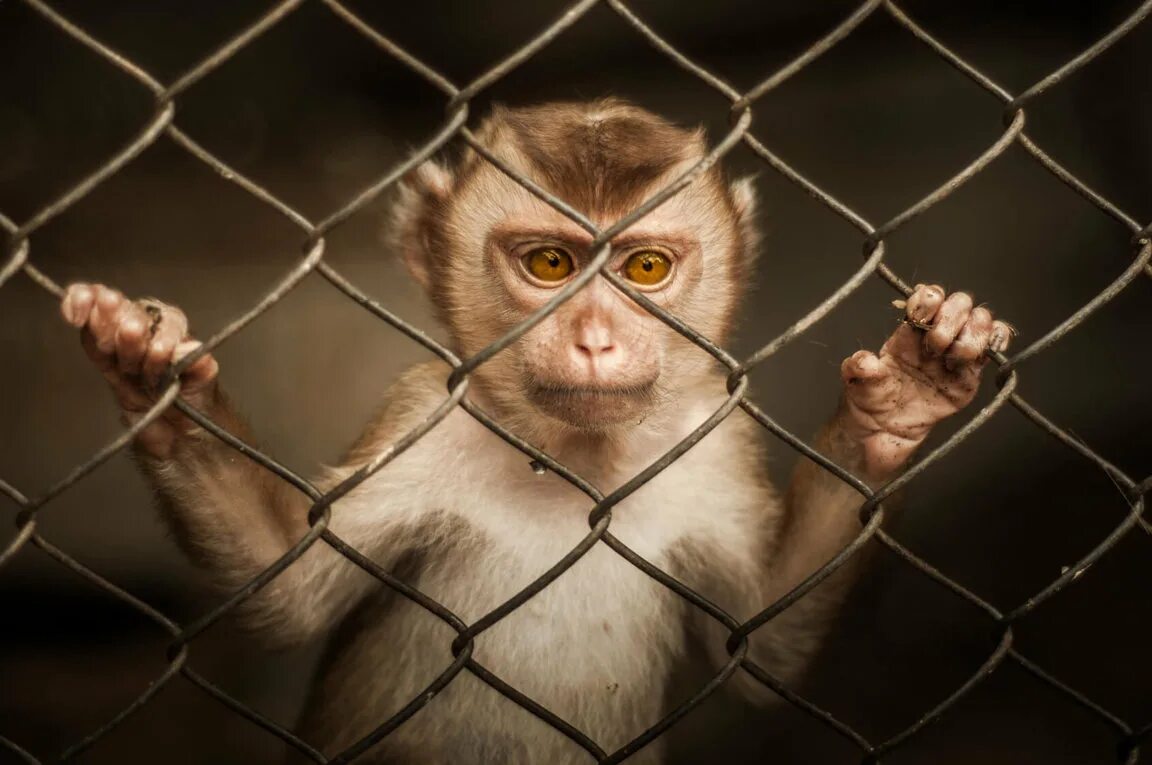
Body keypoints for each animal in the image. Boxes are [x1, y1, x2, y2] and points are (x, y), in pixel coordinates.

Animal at [59, 98, 1012, 764]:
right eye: (552, 264)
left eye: (645, 268)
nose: (596, 340)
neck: (573, 463)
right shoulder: (423, 415)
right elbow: (283, 584)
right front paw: (148, 371)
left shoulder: (713, 434)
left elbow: (762, 642)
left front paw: (899, 403)